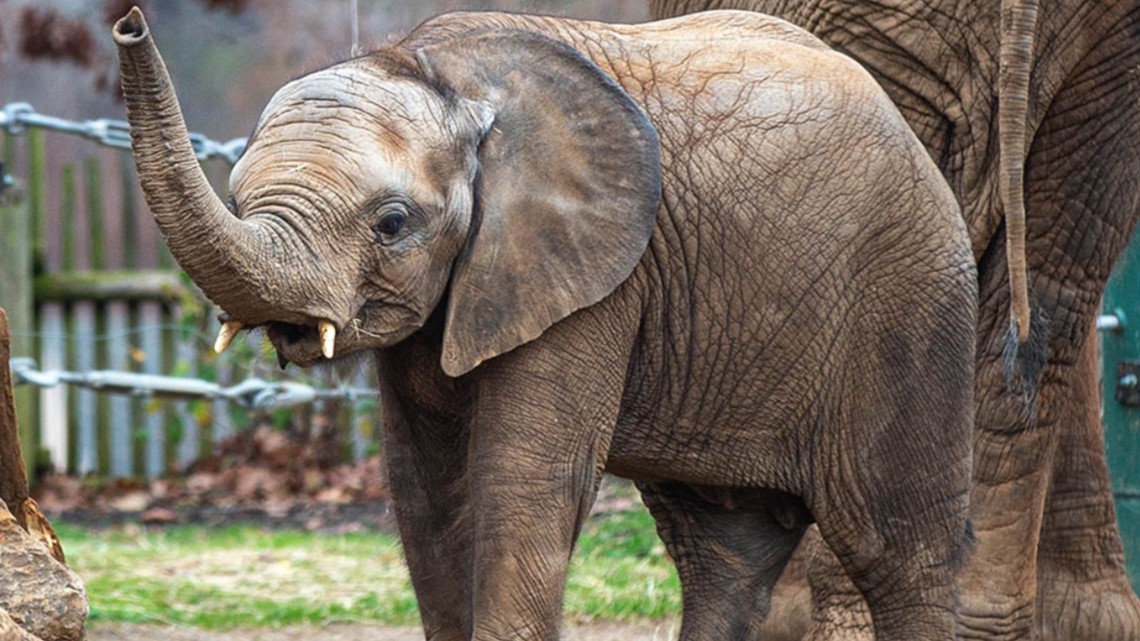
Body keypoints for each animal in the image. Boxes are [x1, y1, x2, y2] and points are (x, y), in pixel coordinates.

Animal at [113, 7, 982, 640]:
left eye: (392, 222)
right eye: (237, 191)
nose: (127, 22)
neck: (439, 69)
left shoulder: (596, 280)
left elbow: (524, 483)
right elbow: (428, 491)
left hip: (911, 297)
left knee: (898, 549)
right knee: (724, 552)